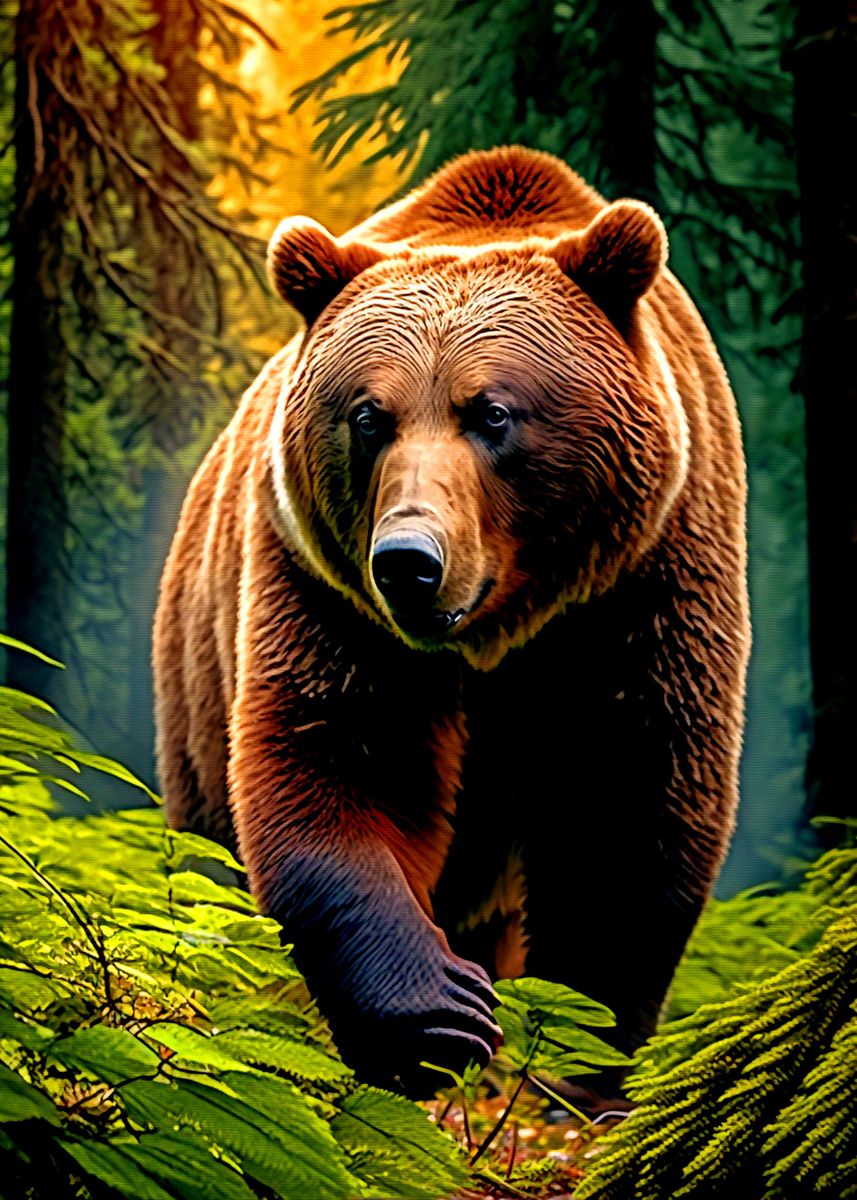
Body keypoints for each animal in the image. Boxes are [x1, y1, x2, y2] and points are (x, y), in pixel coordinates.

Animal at [153, 146, 750, 1099]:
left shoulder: (644, 585)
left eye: (492, 412)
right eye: (368, 415)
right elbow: (341, 764)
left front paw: (580, 1055)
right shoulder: (326, 591)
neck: (498, 632)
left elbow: (627, 803)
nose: (408, 560)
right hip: (195, 679)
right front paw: (436, 1016)